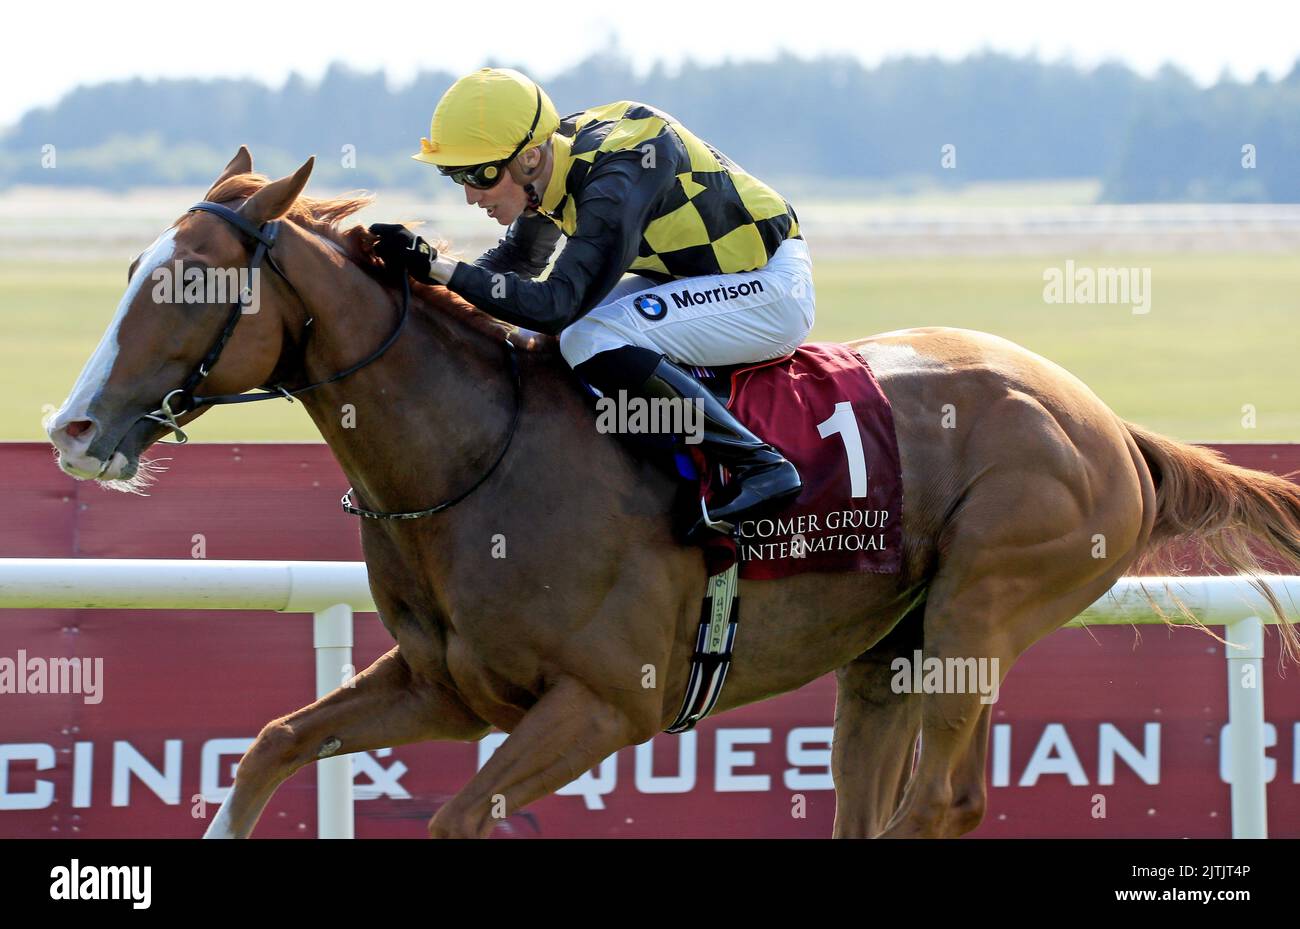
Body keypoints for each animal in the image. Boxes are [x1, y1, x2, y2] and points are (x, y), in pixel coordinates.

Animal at [45, 147, 1300, 838]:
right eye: (130, 270)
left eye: (187, 281)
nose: (71, 429)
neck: (477, 456)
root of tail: (1106, 422)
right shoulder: (447, 687)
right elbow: (269, 742)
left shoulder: (607, 705)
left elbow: (456, 813)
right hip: (886, 653)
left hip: (981, 609)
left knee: (941, 803)